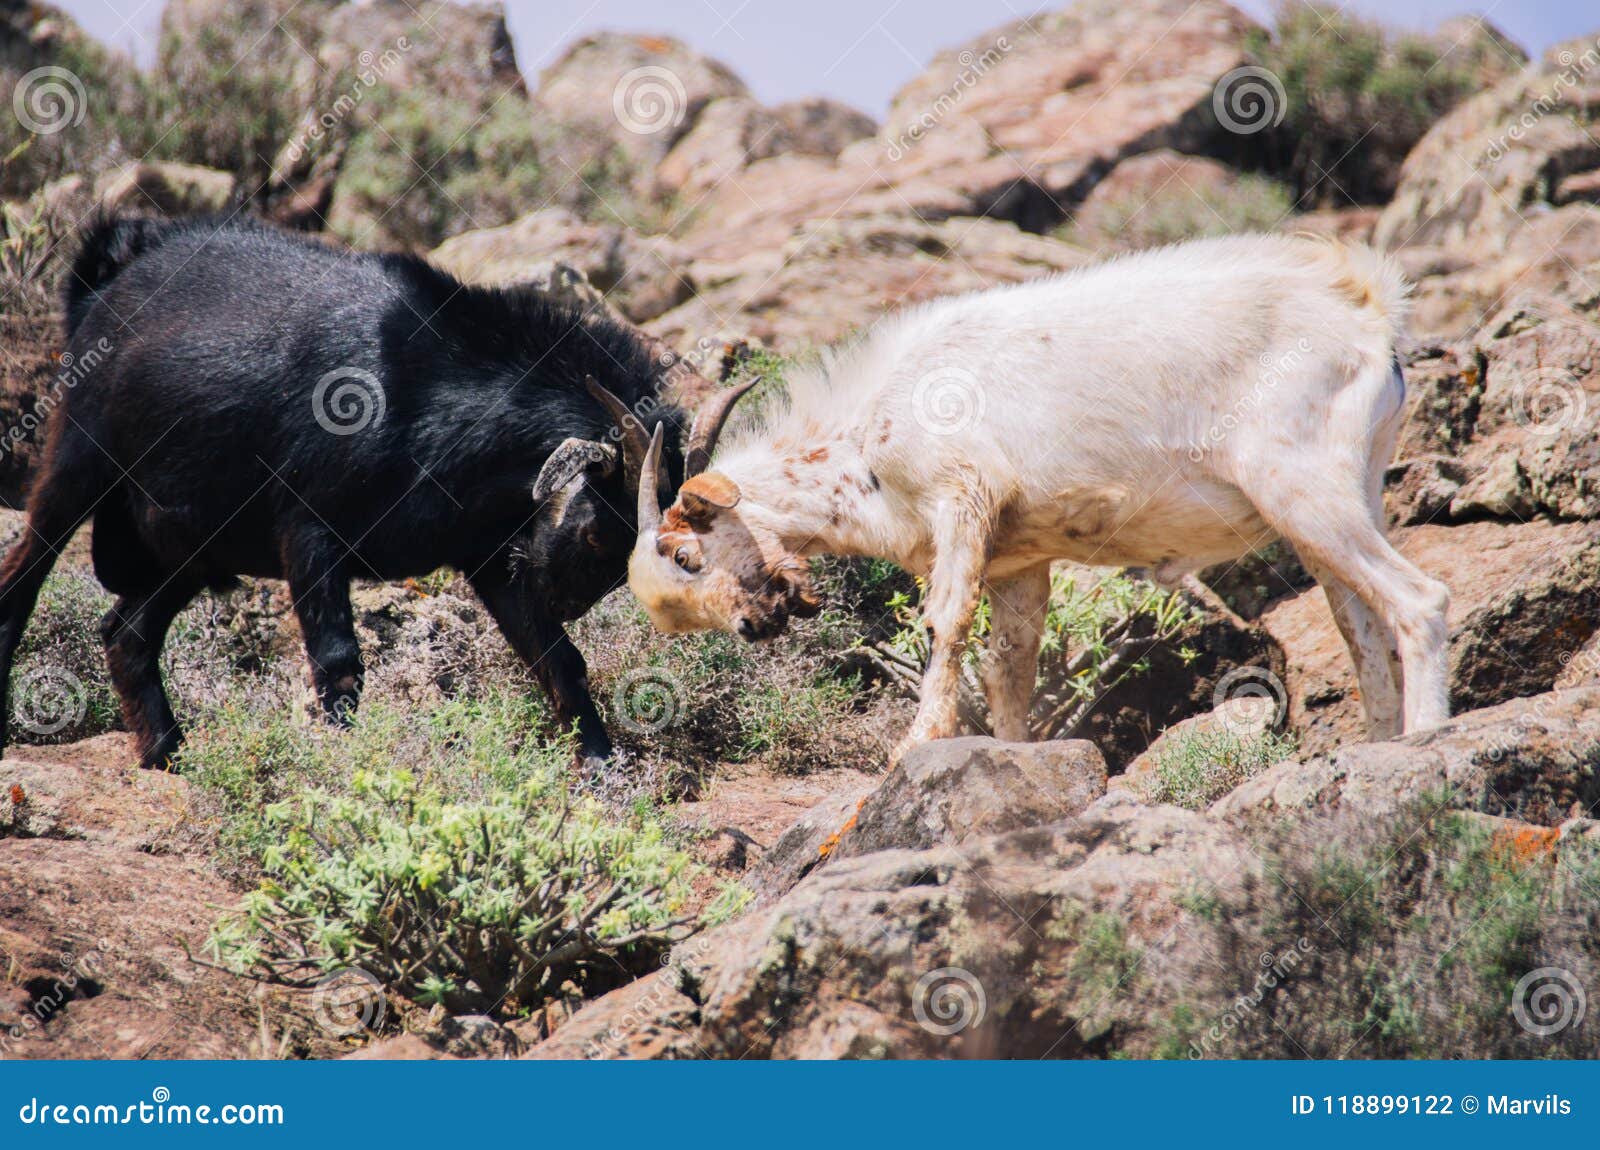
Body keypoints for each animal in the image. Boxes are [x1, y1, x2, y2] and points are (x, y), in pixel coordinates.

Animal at [0, 213, 743, 769]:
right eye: (594, 531)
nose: (561, 598)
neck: (433, 393)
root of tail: (108, 280)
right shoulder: (308, 531)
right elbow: (339, 663)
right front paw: (346, 769)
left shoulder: (488, 553)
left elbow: (556, 657)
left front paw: (600, 768)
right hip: (78, 463)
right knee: (22, 586)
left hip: (193, 544)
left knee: (127, 633)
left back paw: (167, 756)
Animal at [626, 234, 1451, 760]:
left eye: (686, 555)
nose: (754, 626)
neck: (864, 432)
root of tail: (1371, 312)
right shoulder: (1019, 562)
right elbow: (1009, 665)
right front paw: (1012, 753)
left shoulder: (962, 501)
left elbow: (947, 622)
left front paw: (917, 745)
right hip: (1339, 503)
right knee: (1359, 626)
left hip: (1305, 489)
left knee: (1420, 600)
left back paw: (1425, 737)